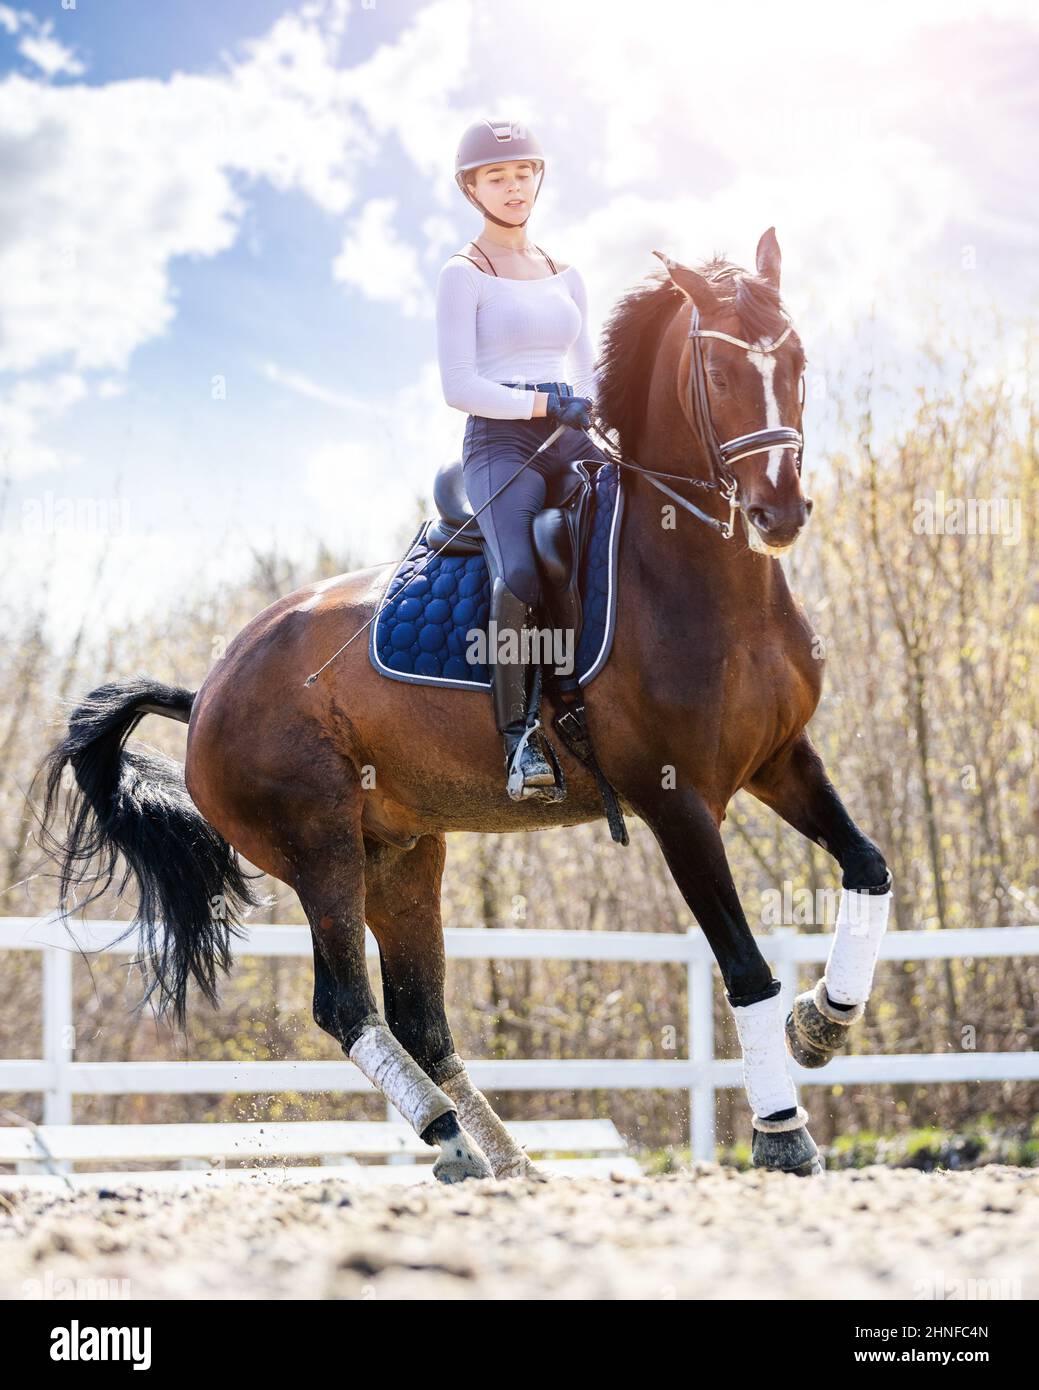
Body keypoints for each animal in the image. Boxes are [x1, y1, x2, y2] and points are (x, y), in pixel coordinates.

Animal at [36, 227, 892, 1182]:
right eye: (714, 370)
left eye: (796, 360)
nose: (779, 512)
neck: (701, 578)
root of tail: (210, 689)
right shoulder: (677, 804)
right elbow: (743, 966)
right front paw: (782, 1129)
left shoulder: (781, 760)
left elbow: (867, 868)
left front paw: (822, 1021)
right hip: (322, 848)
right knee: (346, 1006)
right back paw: (449, 1137)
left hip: (403, 857)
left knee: (421, 1019)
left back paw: (506, 1163)